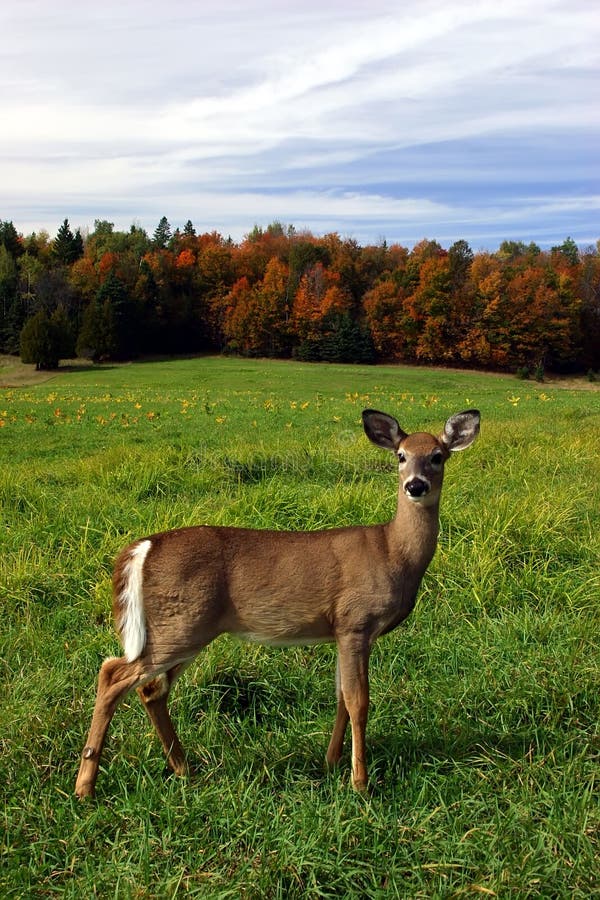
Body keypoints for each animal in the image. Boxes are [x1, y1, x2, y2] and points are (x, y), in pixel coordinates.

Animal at [75, 407, 480, 798]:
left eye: (438, 456)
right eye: (400, 455)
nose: (416, 485)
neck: (393, 553)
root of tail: (142, 548)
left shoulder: (342, 631)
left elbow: (340, 697)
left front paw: (331, 763)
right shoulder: (356, 621)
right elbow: (358, 701)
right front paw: (360, 783)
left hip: (184, 627)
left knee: (151, 690)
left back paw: (183, 768)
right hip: (181, 624)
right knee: (112, 674)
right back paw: (85, 787)